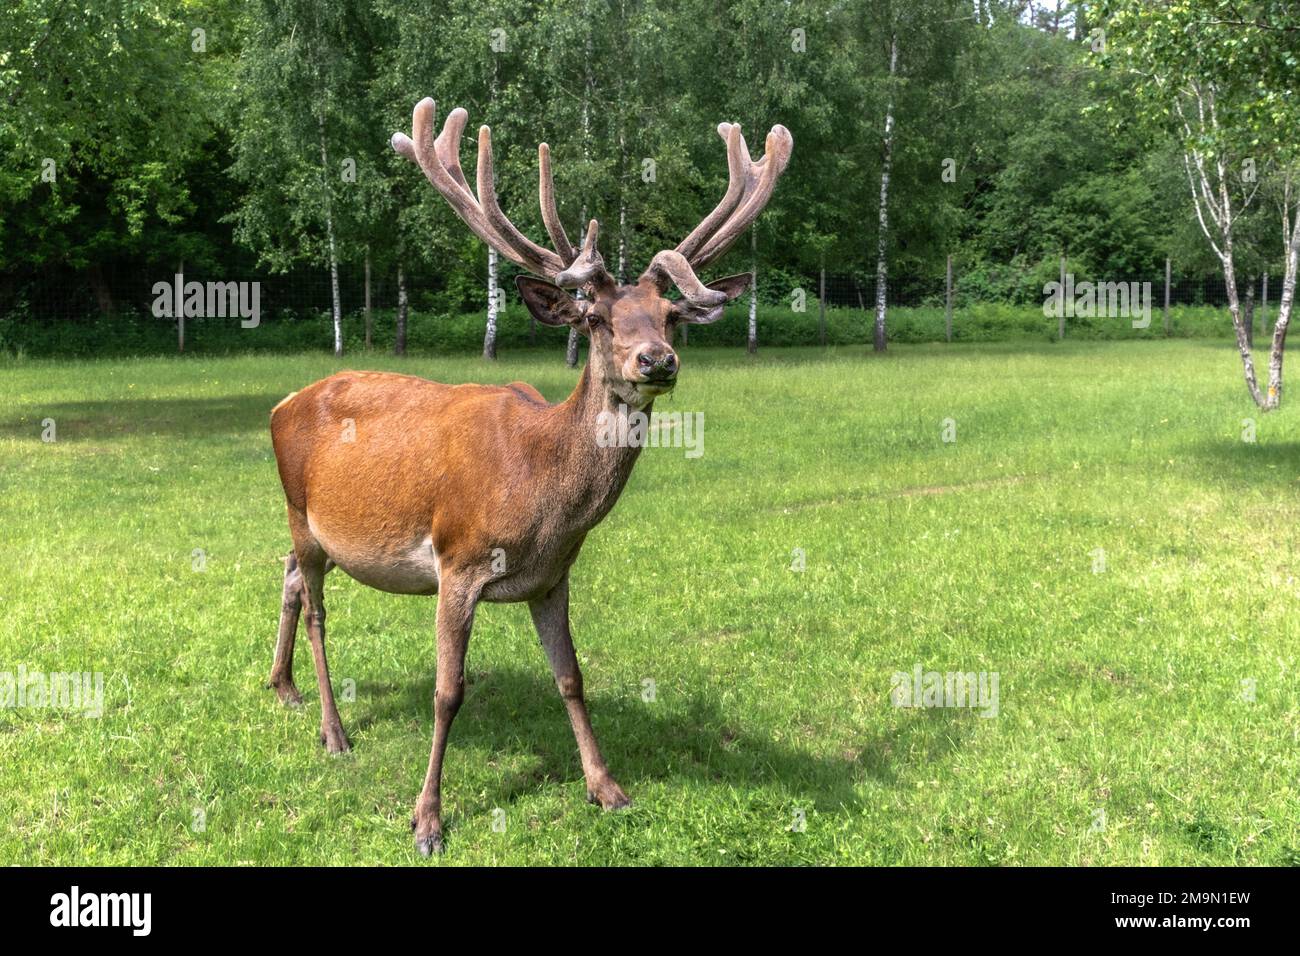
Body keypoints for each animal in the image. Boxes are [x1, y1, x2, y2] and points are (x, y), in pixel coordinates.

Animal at [267, 96, 792, 855]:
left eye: (671, 315)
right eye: (596, 318)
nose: (656, 361)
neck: (544, 499)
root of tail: (281, 402)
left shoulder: (553, 575)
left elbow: (571, 677)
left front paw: (607, 788)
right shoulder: (458, 559)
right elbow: (447, 692)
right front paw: (427, 820)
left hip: (321, 532)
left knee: (283, 575)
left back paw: (281, 687)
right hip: (300, 513)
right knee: (314, 607)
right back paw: (333, 730)